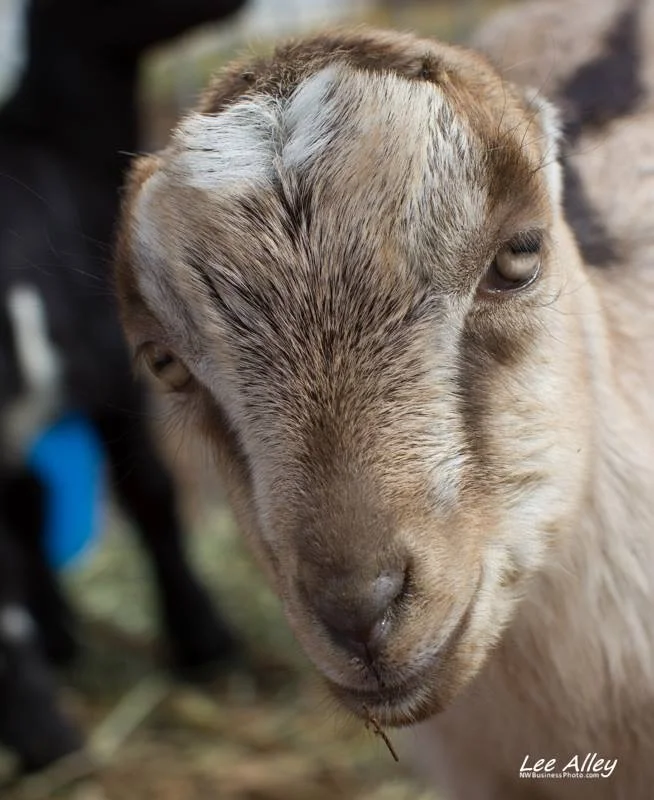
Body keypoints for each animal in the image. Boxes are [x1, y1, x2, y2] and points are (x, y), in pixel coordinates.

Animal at [0, 0, 246, 773]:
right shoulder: (115, 361)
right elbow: (152, 495)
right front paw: (204, 642)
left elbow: (32, 509)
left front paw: (62, 634)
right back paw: (53, 742)